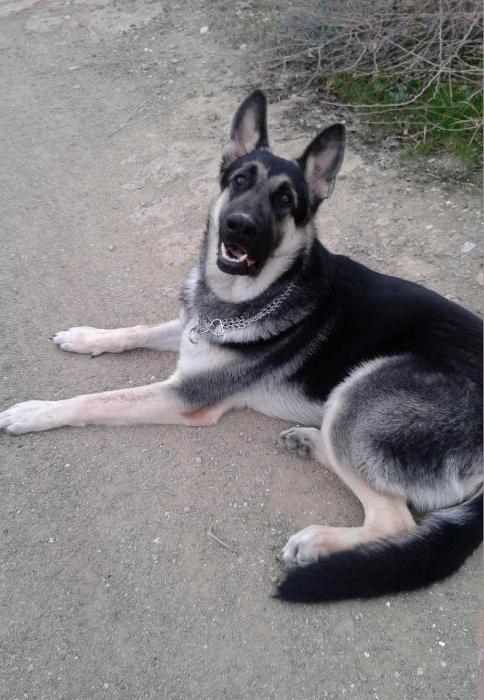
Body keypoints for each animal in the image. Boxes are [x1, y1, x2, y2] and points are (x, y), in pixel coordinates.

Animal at [1, 89, 482, 600]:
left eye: (285, 199)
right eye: (239, 180)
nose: (238, 225)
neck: (249, 296)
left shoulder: (184, 395)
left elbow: (96, 400)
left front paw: (33, 412)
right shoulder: (190, 328)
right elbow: (137, 331)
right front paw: (85, 337)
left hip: (361, 390)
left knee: (395, 518)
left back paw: (318, 540)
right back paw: (308, 442)